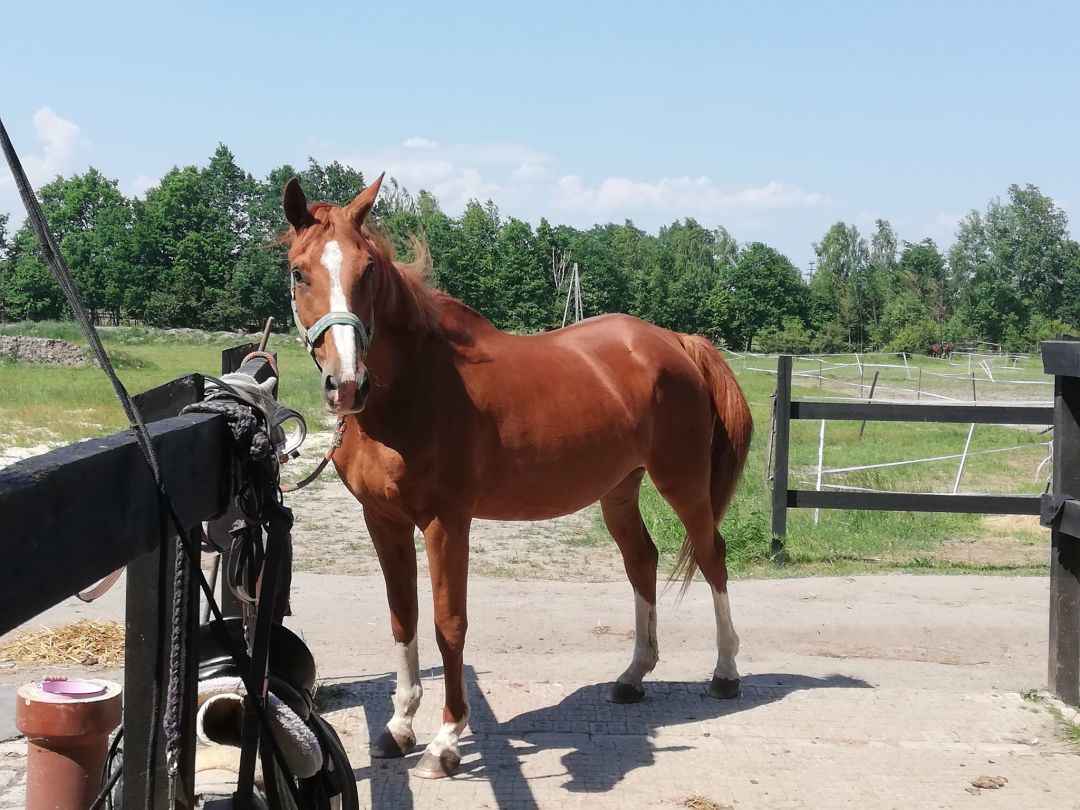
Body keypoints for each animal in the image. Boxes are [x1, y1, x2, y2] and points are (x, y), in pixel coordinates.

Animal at [281, 175, 753, 779]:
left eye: (367, 271)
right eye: (299, 272)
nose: (347, 384)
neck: (414, 388)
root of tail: (674, 341)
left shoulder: (446, 522)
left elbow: (448, 623)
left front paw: (445, 741)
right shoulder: (382, 520)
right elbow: (403, 618)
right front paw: (398, 727)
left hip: (682, 481)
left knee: (712, 555)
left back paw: (725, 673)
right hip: (619, 489)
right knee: (641, 561)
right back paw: (632, 676)